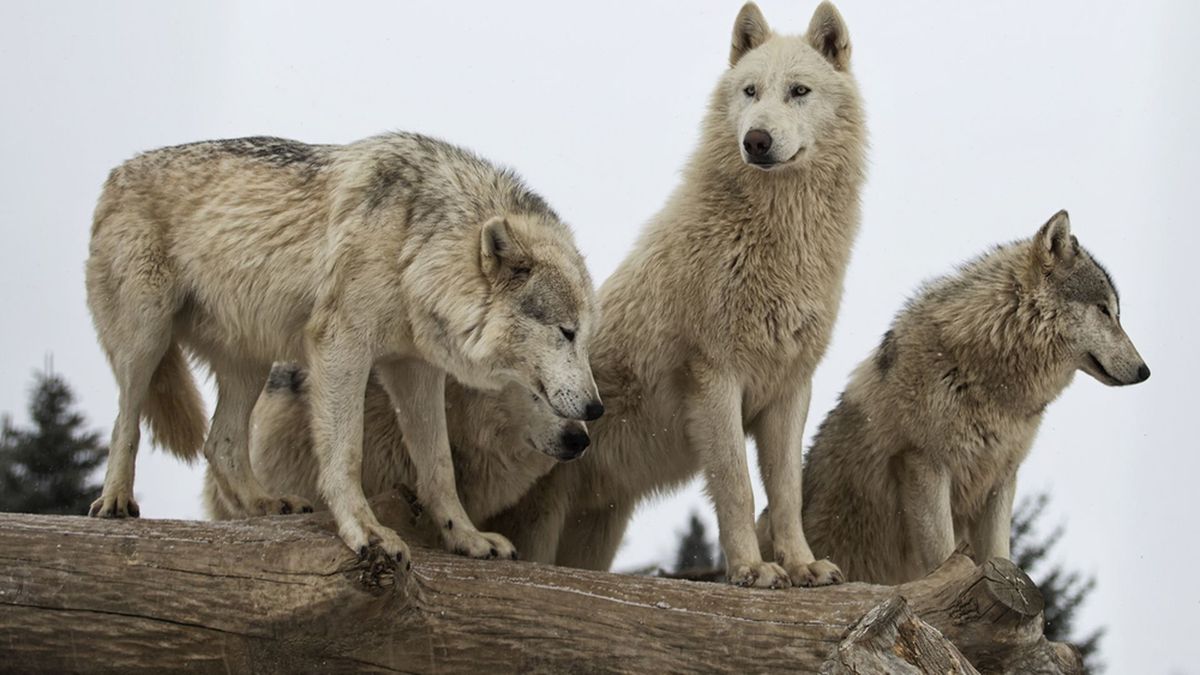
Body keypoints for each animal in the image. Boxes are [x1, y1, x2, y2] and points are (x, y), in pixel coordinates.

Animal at [486, 2, 866, 588]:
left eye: (799, 91)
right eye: (751, 91)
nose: (756, 140)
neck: (774, 241)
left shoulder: (790, 389)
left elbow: (787, 493)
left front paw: (802, 565)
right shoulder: (715, 379)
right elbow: (737, 487)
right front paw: (752, 570)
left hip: (595, 533)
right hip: (540, 522)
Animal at [757, 211, 1150, 584]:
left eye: (1115, 312)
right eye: (1104, 310)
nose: (1145, 371)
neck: (989, 380)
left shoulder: (1001, 479)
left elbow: (1001, 557)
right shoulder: (925, 465)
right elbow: (944, 557)